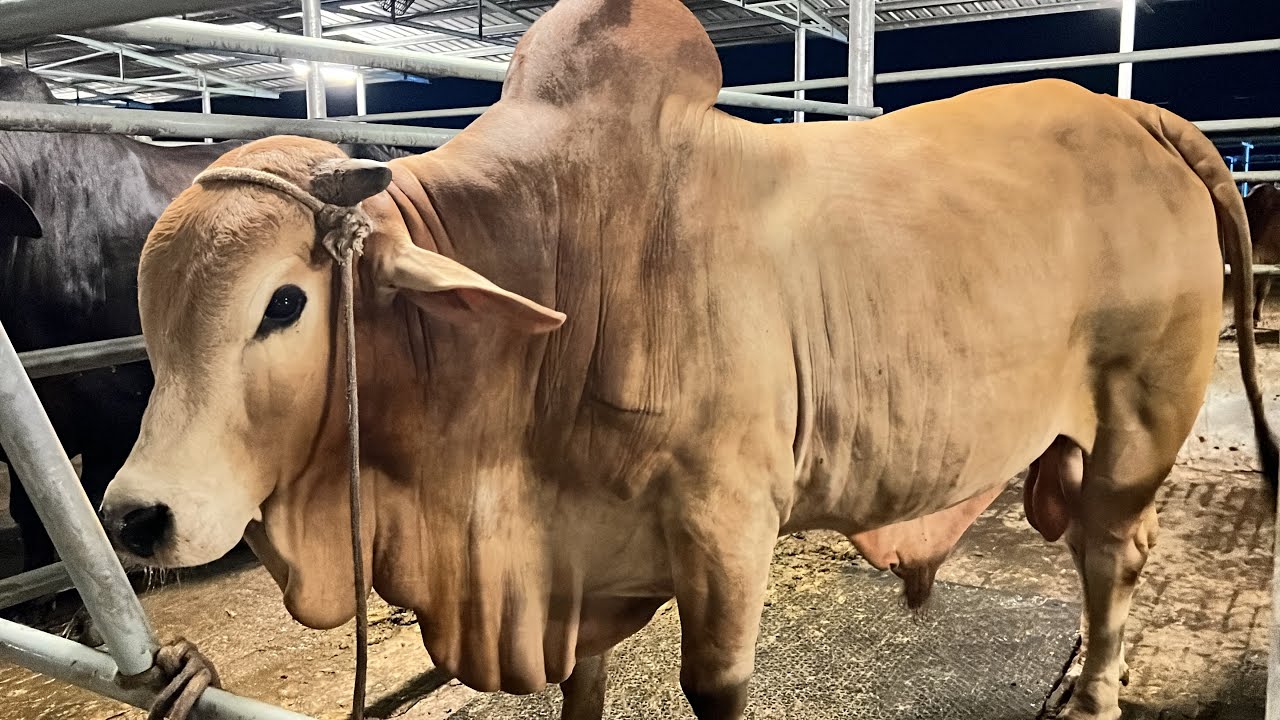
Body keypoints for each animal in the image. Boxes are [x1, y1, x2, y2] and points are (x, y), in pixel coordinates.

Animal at [99, 0, 1275, 718]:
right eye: (149, 313)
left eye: (284, 302)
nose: (136, 516)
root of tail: (1141, 111)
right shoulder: (574, 560)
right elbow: (582, 683)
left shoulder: (725, 527)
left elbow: (714, 687)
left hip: (1140, 420)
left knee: (1111, 553)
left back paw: (1097, 691)